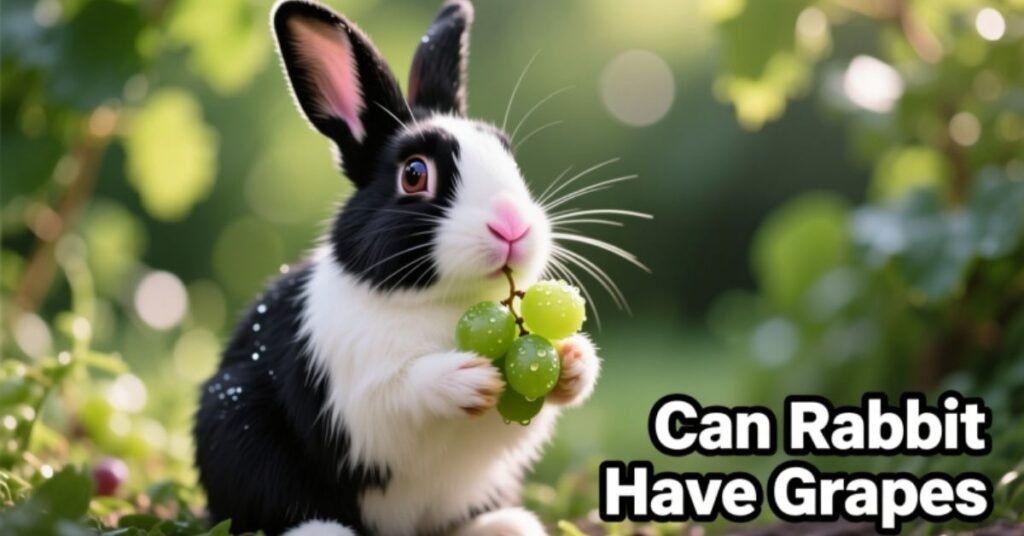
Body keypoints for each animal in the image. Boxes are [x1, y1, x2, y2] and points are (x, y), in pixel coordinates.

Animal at [192, 0, 602, 535]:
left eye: (507, 155)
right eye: (414, 174)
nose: (512, 226)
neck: (445, 301)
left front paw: (574, 362)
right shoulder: (358, 393)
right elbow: (400, 391)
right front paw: (465, 379)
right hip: (235, 428)